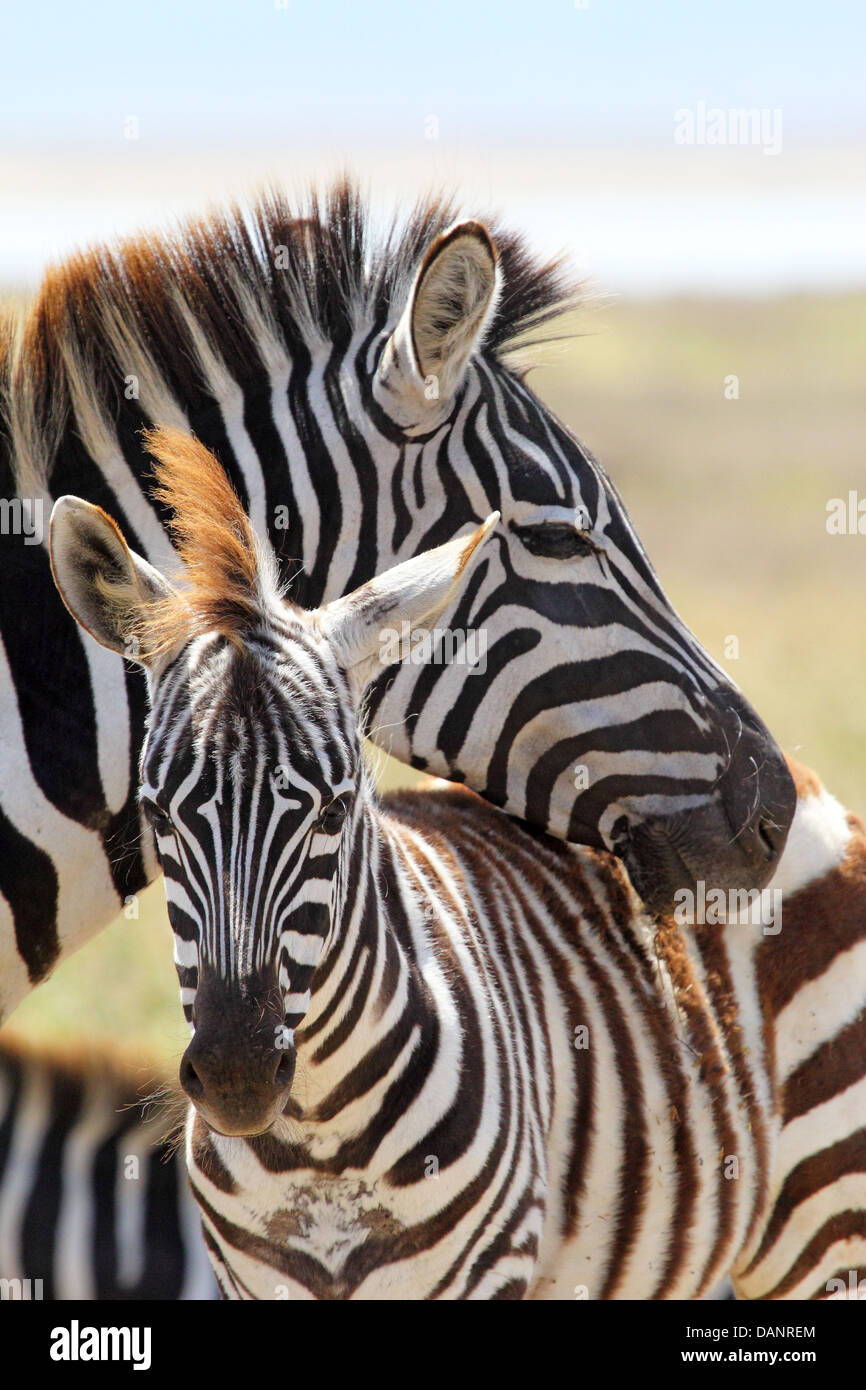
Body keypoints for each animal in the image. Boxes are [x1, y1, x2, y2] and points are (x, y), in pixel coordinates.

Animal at [48, 443, 865, 1299]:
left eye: (335, 811)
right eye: (159, 815)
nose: (238, 1076)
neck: (316, 1138)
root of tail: (805, 786)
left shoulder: (485, 1272)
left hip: (826, 1224)